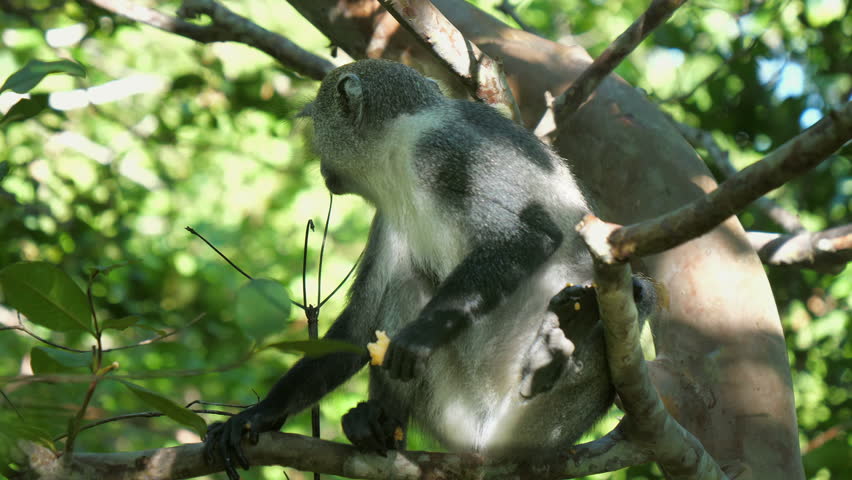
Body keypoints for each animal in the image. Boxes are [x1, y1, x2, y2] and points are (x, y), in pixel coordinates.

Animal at [204, 59, 656, 479]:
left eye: (318, 126)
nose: (320, 168)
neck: (399, 148)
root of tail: (482, 444)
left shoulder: (447, 152)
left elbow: (530, 236)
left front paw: (420, 336)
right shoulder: (388, 211)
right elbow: (360, 323)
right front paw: (259, 415)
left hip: (539, 428)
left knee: (636, 294)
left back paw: (556, 349)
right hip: (450, 411)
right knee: (406, 285)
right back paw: (379, 425)